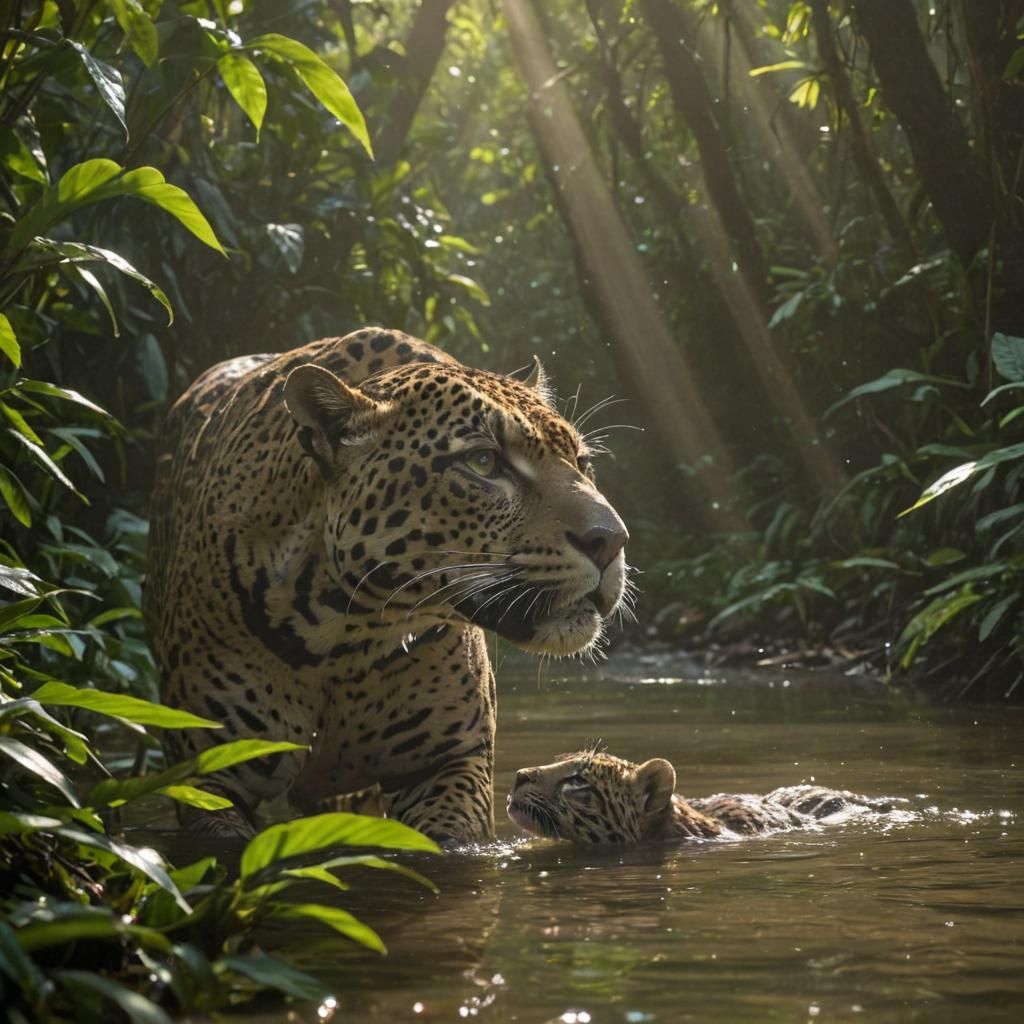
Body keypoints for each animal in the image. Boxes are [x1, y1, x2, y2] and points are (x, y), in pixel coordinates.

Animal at [144, 328, 630, 843]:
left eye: (581, 462)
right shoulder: (207, 777)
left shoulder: (447, 763)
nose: (613, 539)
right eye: (483, 462)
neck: (344, 634)